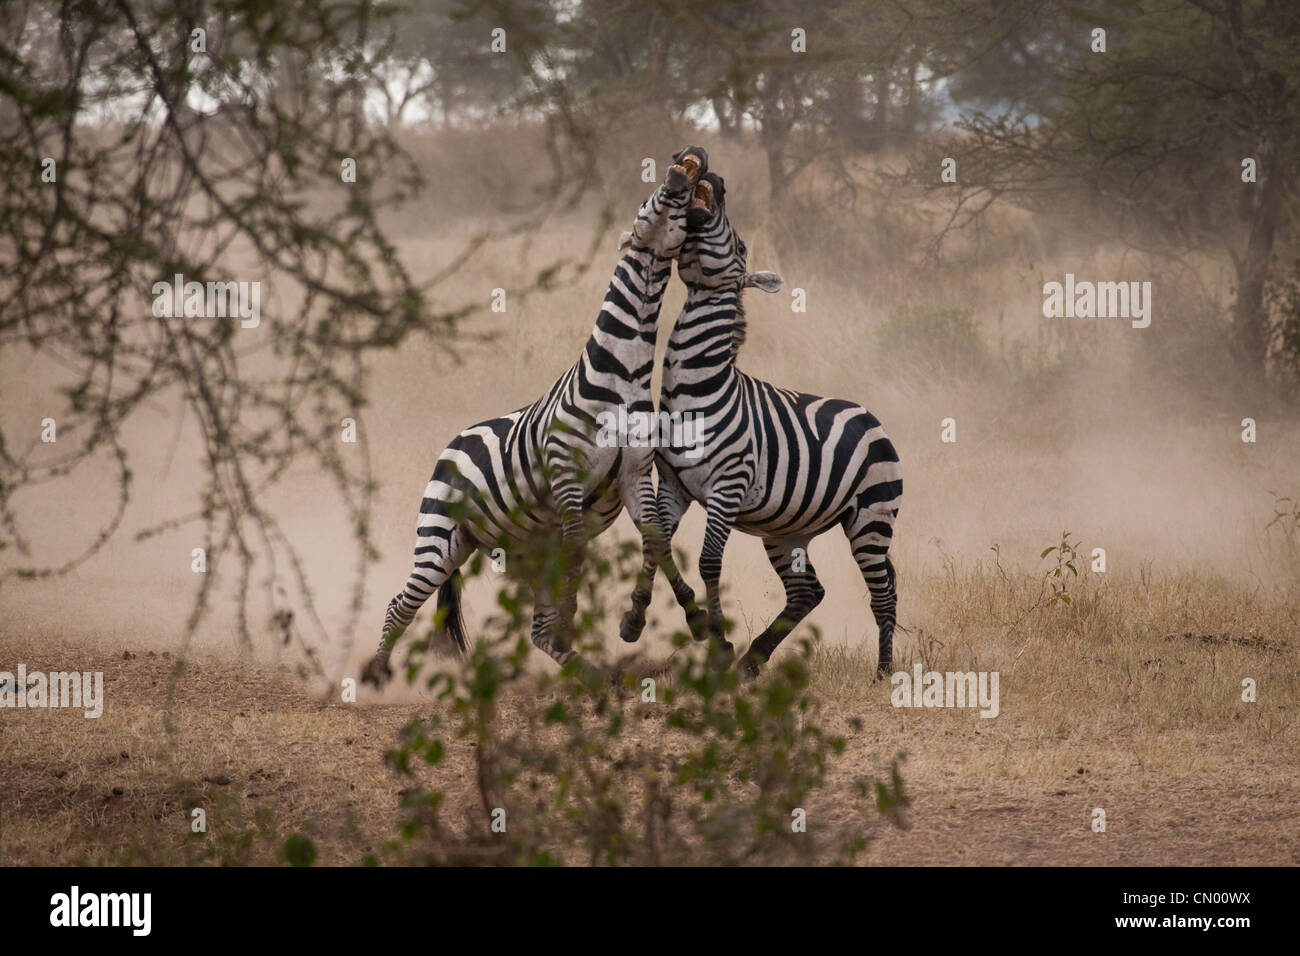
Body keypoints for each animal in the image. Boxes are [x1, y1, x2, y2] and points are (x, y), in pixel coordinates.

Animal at [361, 147, 710, 687]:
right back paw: (377, 673)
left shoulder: (634, 473)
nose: (680, 167)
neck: (626, 368)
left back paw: (592, 674)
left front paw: (682, 618)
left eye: (682, 213)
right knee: (402, 603)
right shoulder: (566, 468)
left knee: (538, 632)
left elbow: (655, 540)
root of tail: (454, 440)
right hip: (439, 536)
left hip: (517, 553)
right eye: (649, 201)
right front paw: (581, 615)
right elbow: (576, 545)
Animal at [620, 170, 903, 679]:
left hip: (871, 518)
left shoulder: (727, 488)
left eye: (740, 243)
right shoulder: (673, 484)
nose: (715, 178)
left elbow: (710, 563)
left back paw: (884, 673)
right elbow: (658, 543)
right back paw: (754, 660)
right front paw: (635, 618)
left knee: (882, 594)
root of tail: (871, 416)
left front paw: (716, 641)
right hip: (786, 531)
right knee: (808, 592)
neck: (696, 388)